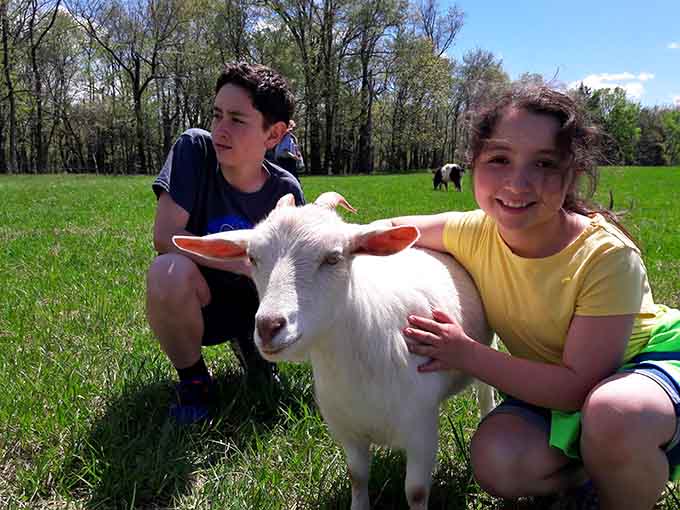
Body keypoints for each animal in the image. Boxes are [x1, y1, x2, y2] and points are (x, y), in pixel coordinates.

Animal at [173, 193, 495, 510]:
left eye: (333, 258)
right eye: (252, 258)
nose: (268, 326)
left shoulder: (421, 430)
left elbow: (415, 491)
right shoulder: (346, 429)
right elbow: (357, 476)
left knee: (484, 394)